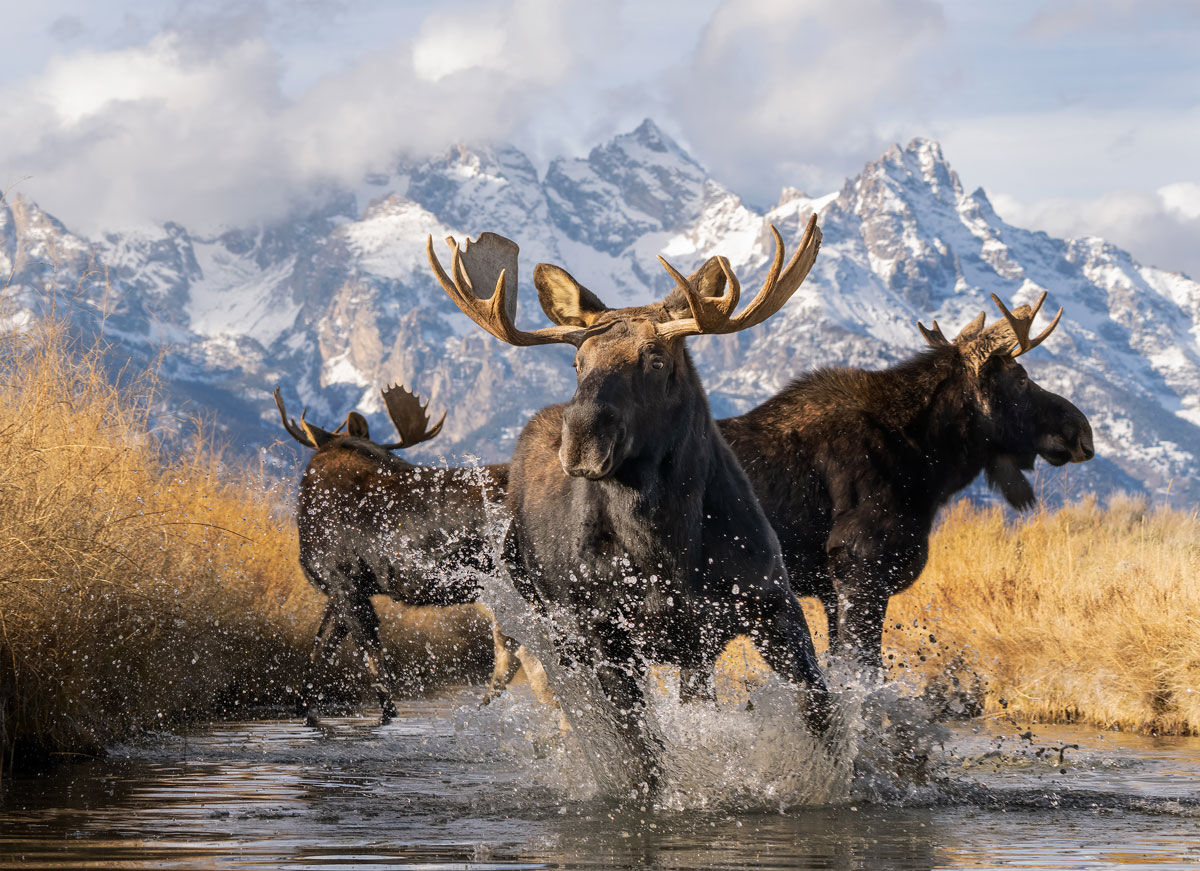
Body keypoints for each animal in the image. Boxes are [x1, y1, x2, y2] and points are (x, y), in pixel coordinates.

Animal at [427, 217, 834, 795]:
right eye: (577, 362)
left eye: (655, 359)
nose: (580, 438)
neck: (667, 544)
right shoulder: (604, 636)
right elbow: (641, 755)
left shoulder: (766, 605)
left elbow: (822, 712)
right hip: (552, 627)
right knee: (566, 709)